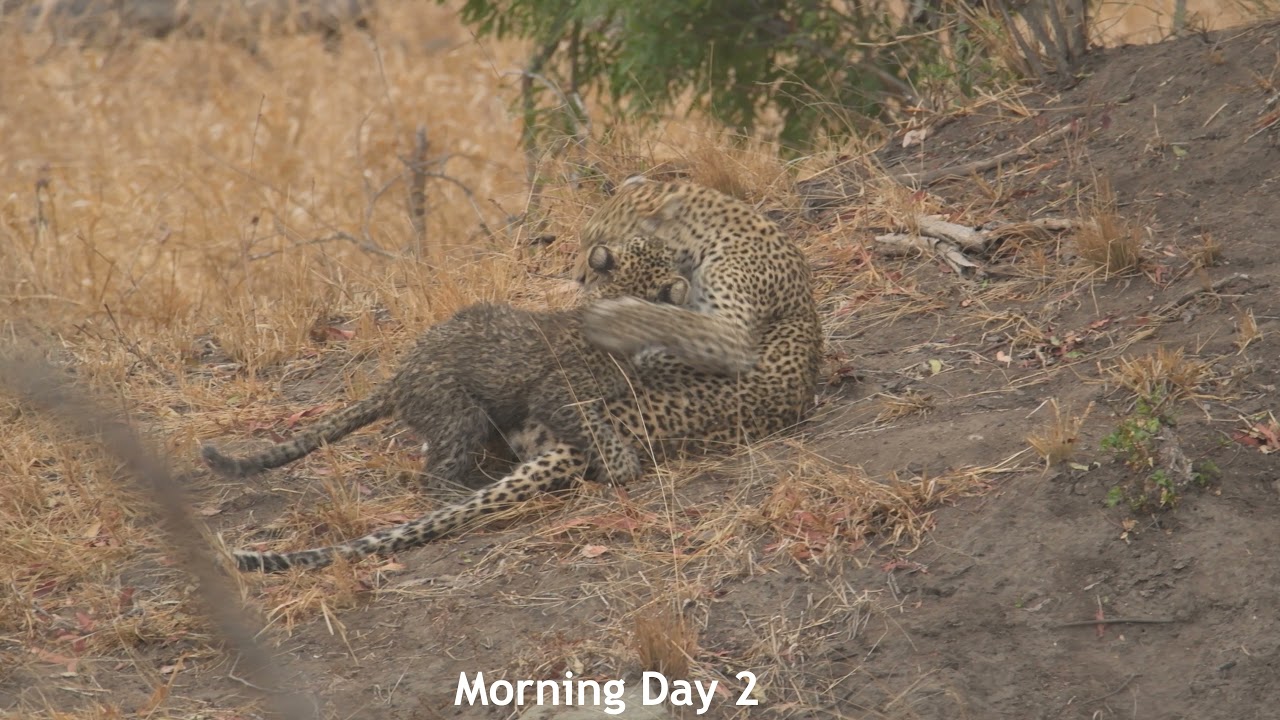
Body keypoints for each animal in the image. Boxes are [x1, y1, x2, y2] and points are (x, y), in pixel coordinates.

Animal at [203, 235, 691, 496]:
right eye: (660, 251)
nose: (681, 250)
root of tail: (400, 374)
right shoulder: (559, 396)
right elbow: (594, 430)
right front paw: (621, 467)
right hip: (457, 414)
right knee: (434, 475)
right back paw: (461, 493)